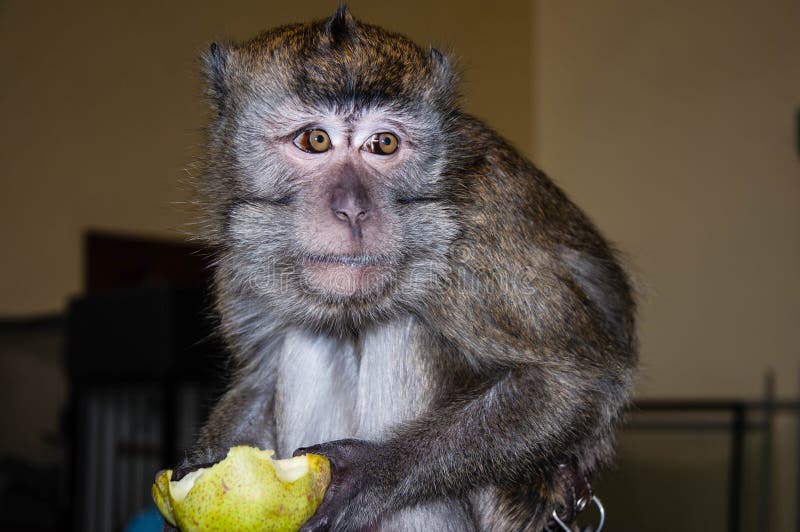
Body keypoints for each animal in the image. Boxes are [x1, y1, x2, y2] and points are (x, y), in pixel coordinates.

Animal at [167, 6, 637, 532]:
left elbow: (574, 381)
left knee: (399, 330)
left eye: (384, 144)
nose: (353, 209)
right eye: (315, 140)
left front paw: (370, 474)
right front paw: (204, 465)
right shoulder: (241, 245)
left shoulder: (477, 238)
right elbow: (258, 378)